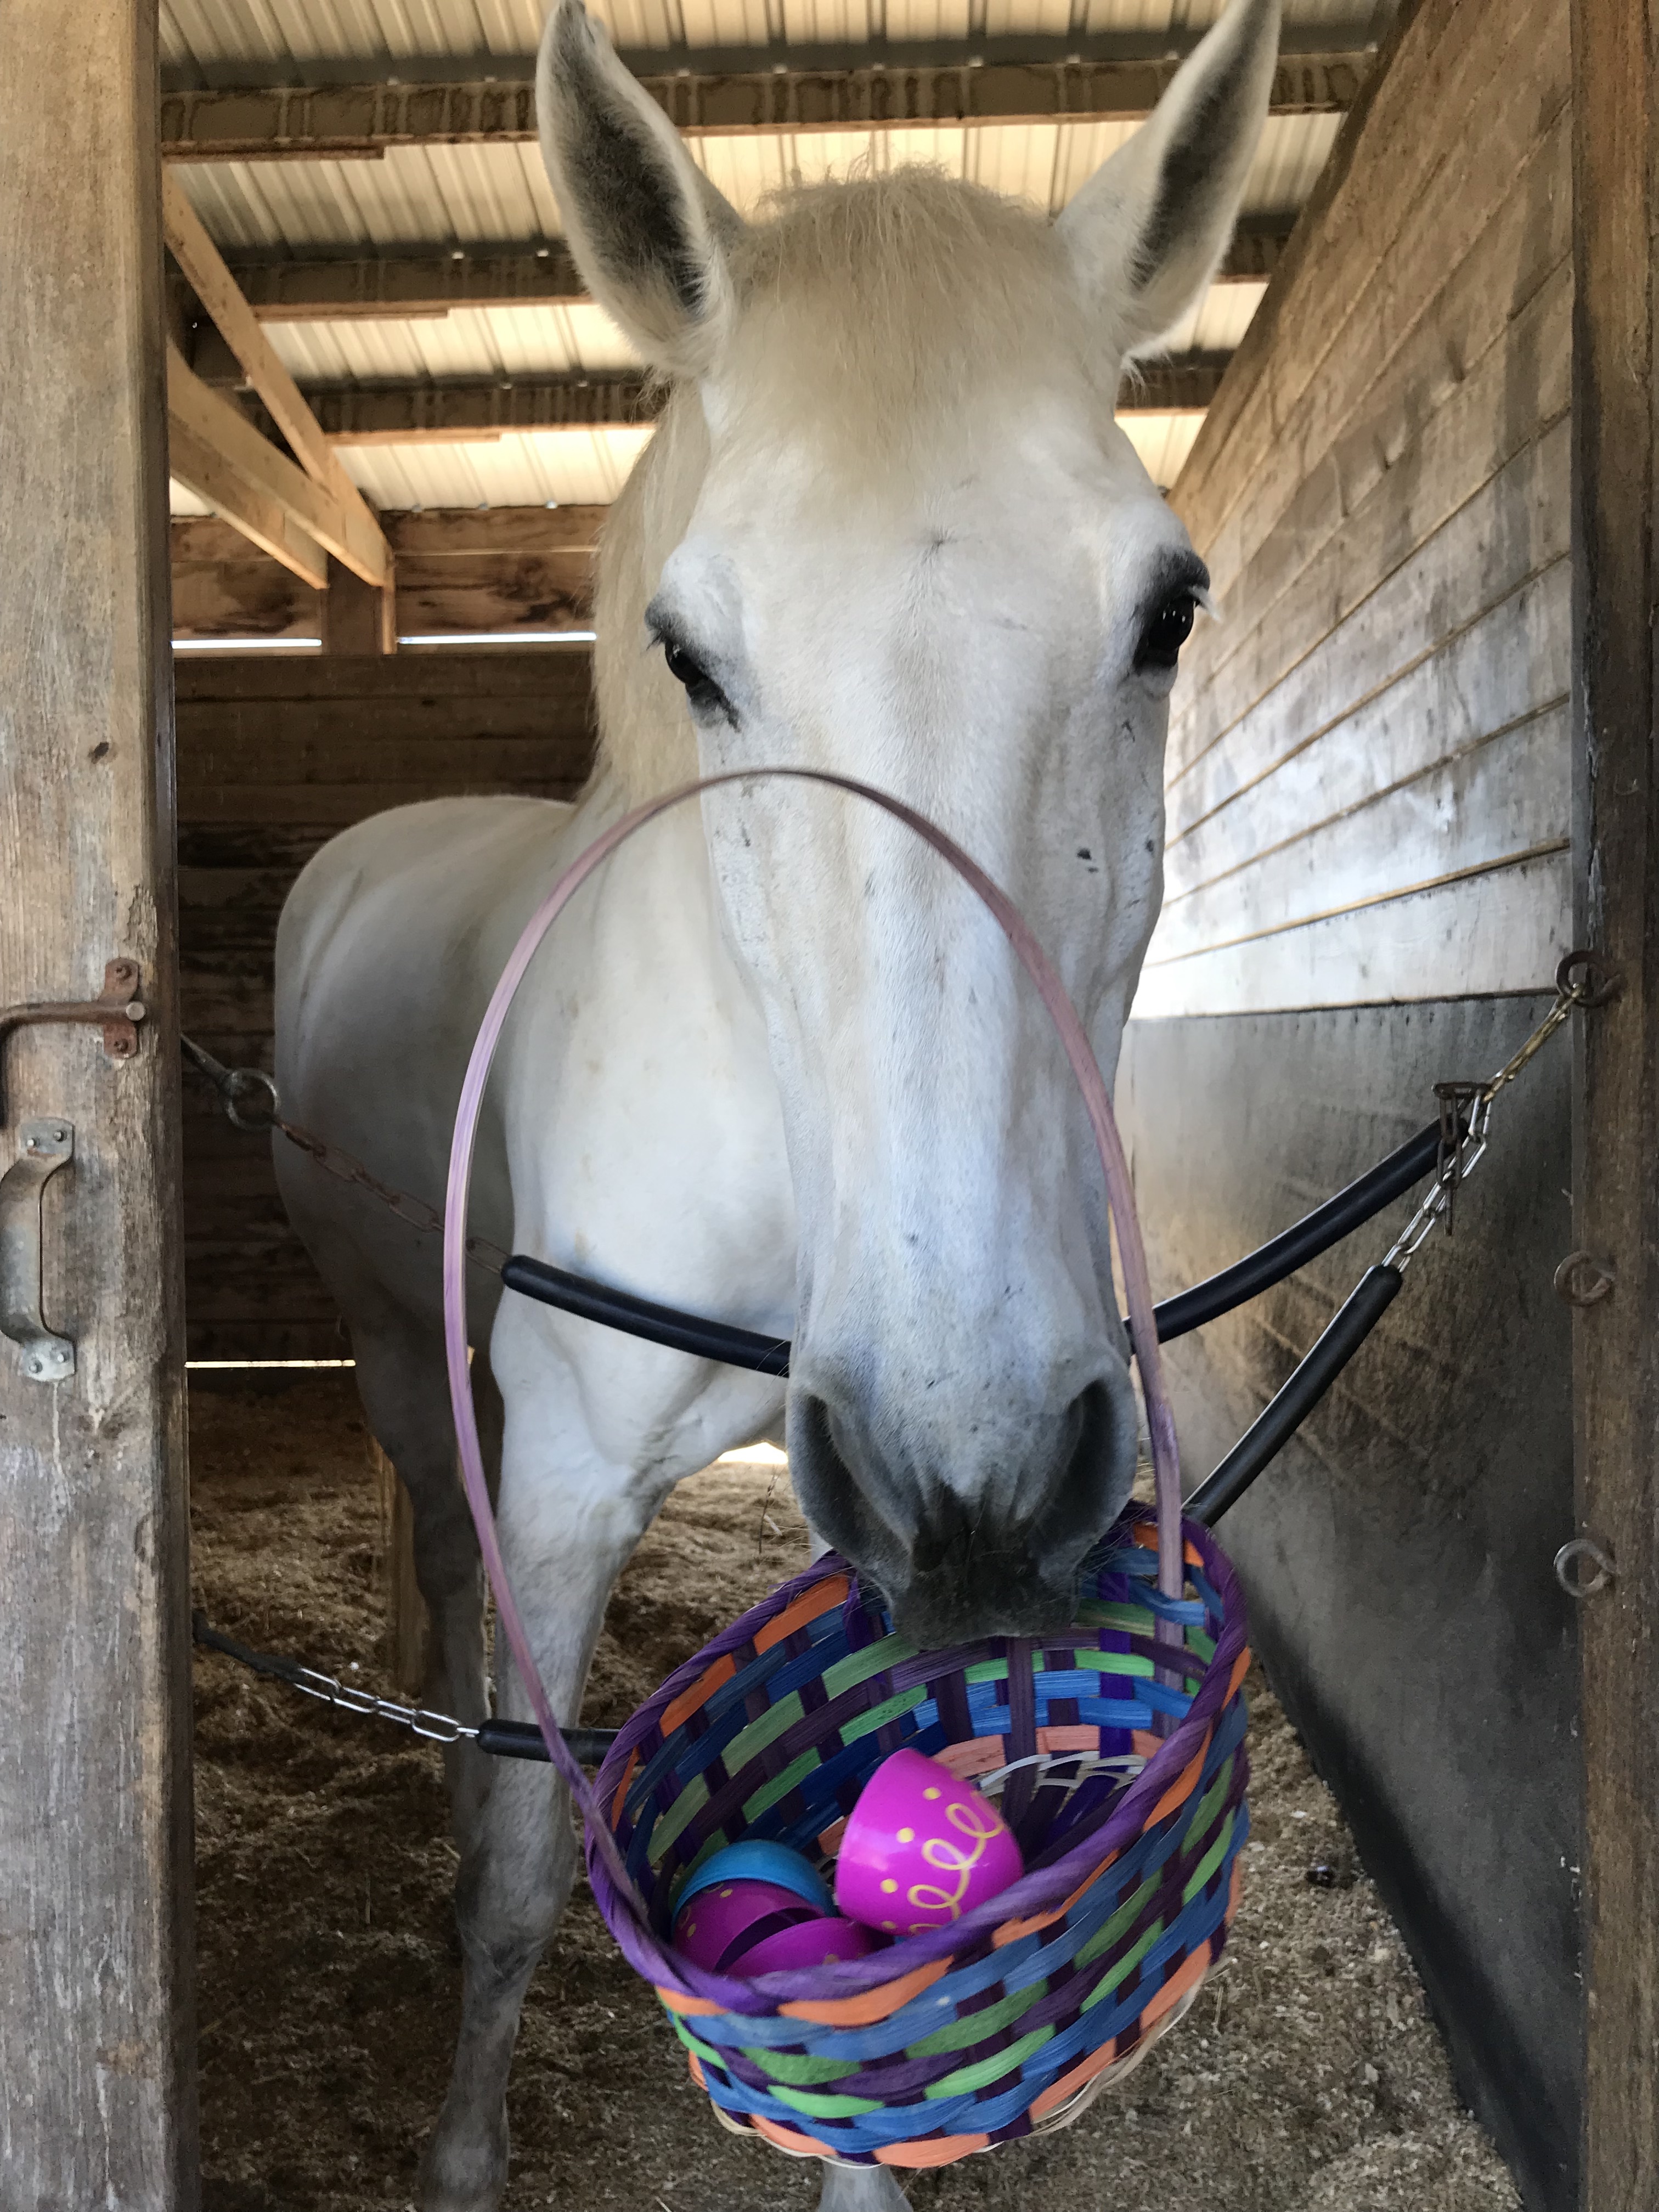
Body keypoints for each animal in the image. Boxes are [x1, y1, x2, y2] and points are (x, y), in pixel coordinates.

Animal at [271, 1, 1281, 2202]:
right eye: (691, 653)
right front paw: (457, 2153)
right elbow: (516, 1864)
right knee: (435, 1542)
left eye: (1166, 611)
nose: (974, 1475)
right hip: (394, 1337)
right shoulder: (564, 1475)